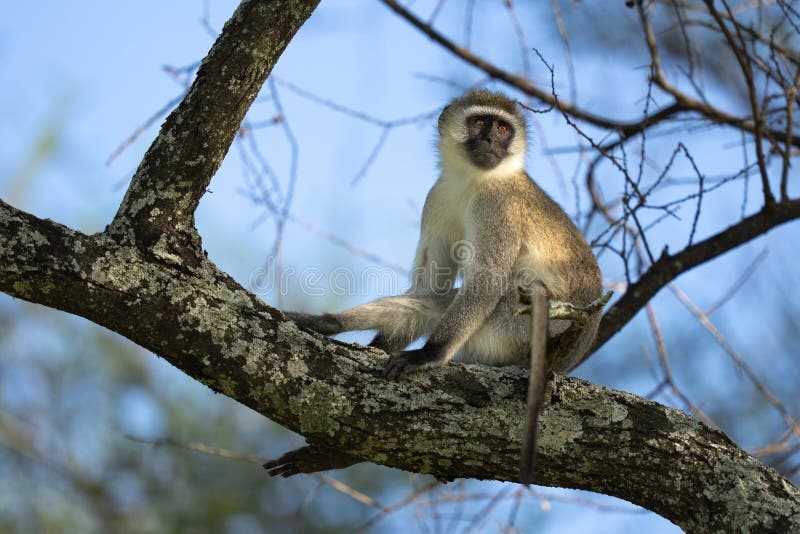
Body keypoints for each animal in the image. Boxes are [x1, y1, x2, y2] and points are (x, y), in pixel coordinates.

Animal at [271, 90, 603, 484]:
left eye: (503, 128)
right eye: (480, 122)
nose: (490, 140)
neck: (471, 180)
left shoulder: (499, 205)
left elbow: (487, 280)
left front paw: (429, 353)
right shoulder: (438, 195)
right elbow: (434, 289)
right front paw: (334, 326)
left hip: (525, 328)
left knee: (510, 295)